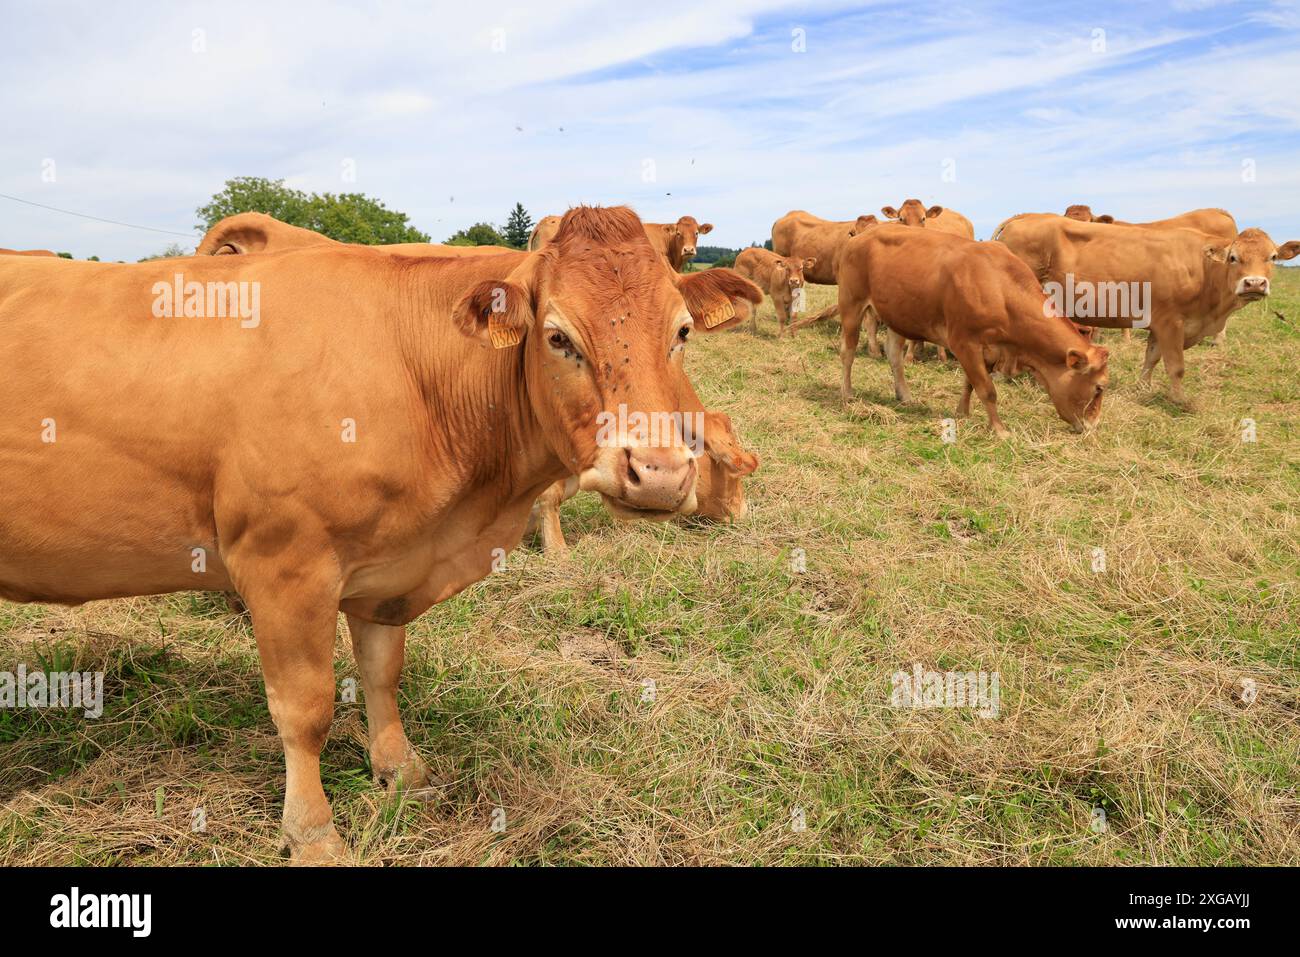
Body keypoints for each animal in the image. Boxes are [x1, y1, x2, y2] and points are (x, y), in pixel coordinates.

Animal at [0, 206, 763, 862]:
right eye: (558, 337)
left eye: (683, 332)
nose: (658, 473)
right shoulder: (285, 565)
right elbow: (304, 710)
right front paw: (313, 833)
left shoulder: (388, 566)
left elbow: (381, 670)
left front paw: (400, 767)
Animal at [832, 224, 1109, 436]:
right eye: (1099, 387)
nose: (1093, 426)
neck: (1000, 287)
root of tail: (860, 236)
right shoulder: (964, 342)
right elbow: (987, 389)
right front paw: (1000, 430)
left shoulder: (985, 348)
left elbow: (970, 383)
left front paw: (962, 413)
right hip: (851, 305)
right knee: (848, 351)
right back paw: (847, 394)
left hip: (897, 314)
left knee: (894, 356)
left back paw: (905, 395)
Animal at [995, 216, 1296, 406]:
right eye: (1234, 258)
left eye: (1272, 257)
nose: (1254, 283)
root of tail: (1020, 219)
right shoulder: (1171, 322)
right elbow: (1176, 366)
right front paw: (1180, 400)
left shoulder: (1160, 325)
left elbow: (1151, 358)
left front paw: (1143, 387)